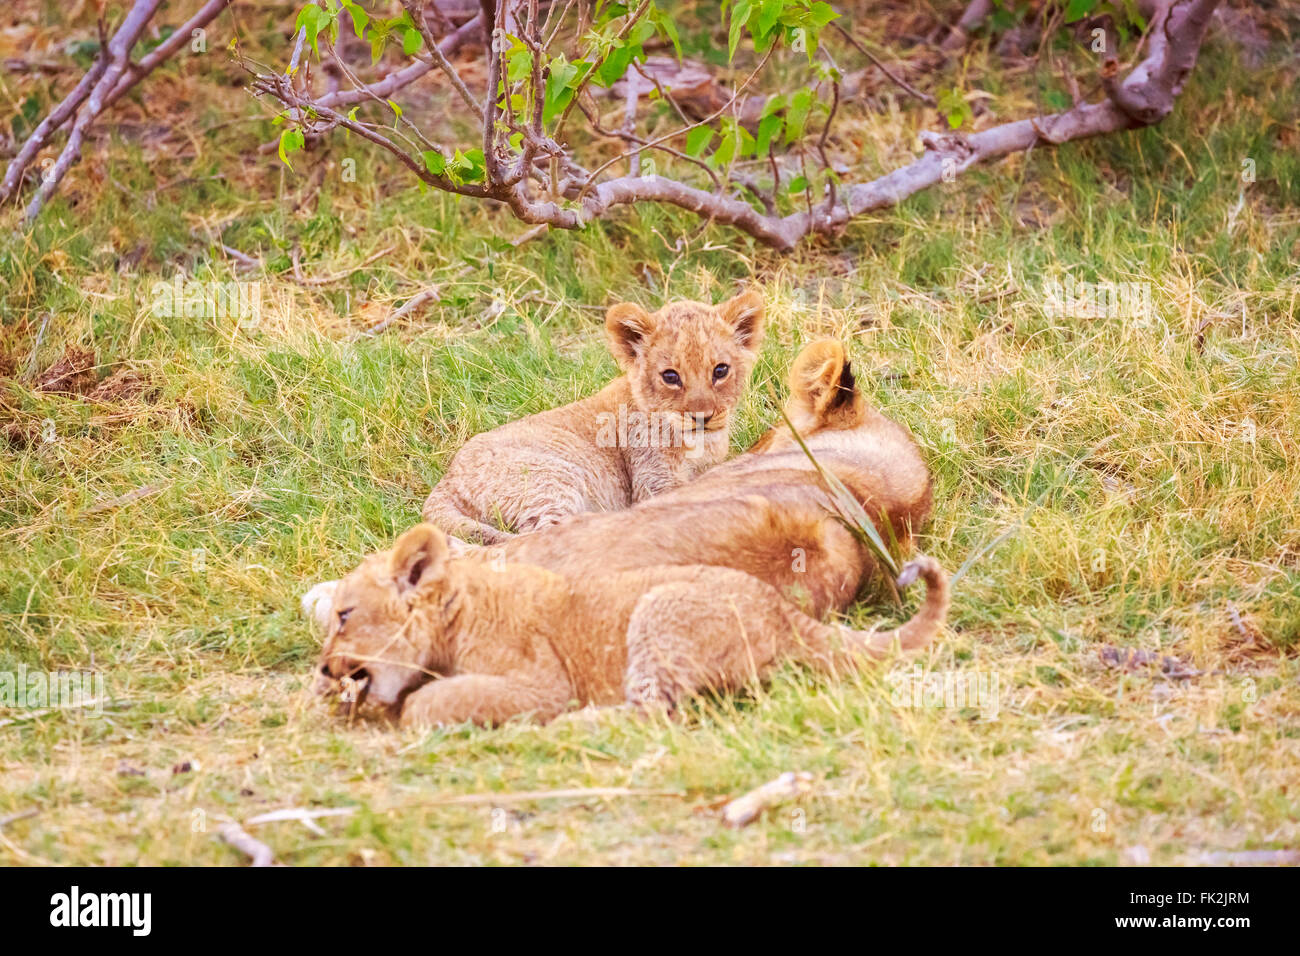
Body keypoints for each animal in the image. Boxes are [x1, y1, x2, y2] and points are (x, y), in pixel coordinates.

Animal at [313, 522, 947, 727]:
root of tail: (781, 611)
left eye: (345, 614)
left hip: (656, 613)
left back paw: (570, 726)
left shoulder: (542, 683)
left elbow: (433, 702)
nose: (322, 668)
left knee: (653, 714)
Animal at [419, 289, 766, 545]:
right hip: (552, 480)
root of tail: (446, 481)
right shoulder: (652, 481)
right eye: (670, 376)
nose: (703, 417)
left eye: (720, 371)